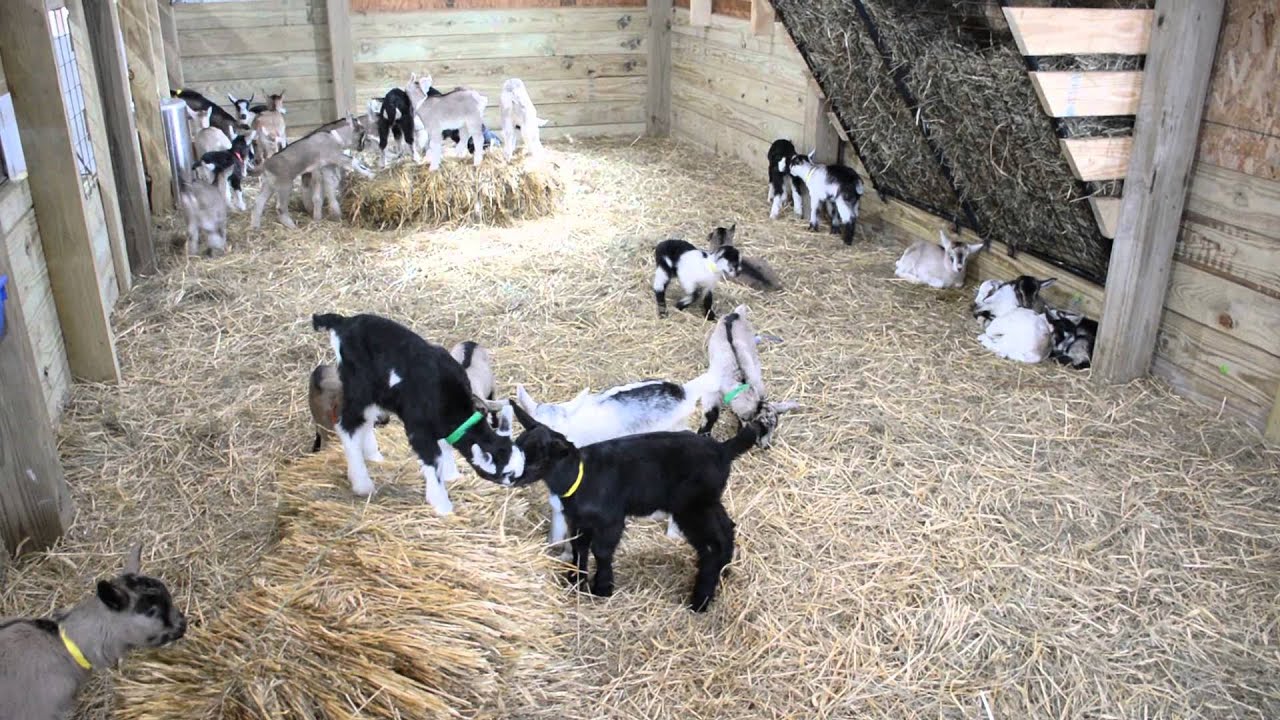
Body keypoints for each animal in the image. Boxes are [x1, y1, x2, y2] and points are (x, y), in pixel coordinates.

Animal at [312, 312, 525, 514]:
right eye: (505, 473)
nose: (519, 483)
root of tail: (343, 322)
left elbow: (444, 446)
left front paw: (452, 476)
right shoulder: (418, 428)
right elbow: (434, 459)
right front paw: (442, 505)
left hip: (377, 395)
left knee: (365, 423)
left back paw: (373, 456)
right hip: (360, 388)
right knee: (348, 426)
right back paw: (362, 484)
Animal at [508, 403, 773, 612]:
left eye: (538, 460)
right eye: (517, 444)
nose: (509, 476)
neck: (580, 476)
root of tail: (722, 450)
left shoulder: (611, 519)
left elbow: (602, 551)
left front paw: (602, 588)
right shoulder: (580, 520)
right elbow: (579, 548)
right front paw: (576, 581)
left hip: (692, 505)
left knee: (713, 545)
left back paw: (699, 600)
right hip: (708, 501)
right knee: (727, 529)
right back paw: (723, 572)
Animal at [699, 304, 799, 446]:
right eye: (761, 427)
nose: (766, 446)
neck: (741, 380)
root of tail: (736, 314)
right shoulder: (712, 390)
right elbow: (711, 414)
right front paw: (703, 433)